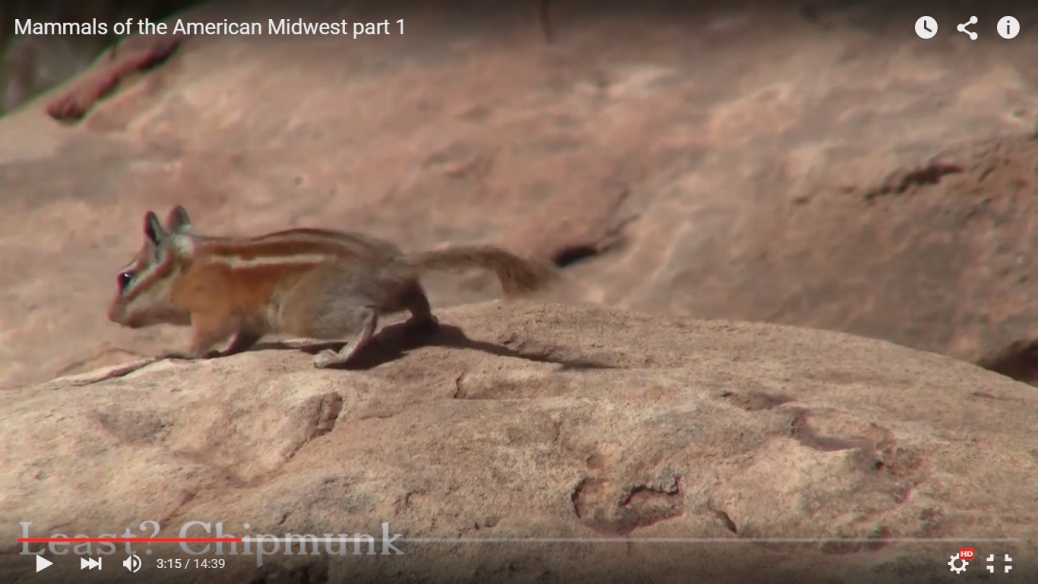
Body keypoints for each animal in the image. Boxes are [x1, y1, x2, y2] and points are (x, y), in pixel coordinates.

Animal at [107, 206, 559, 368]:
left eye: (124, 277)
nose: (110, 316)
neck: (187, 267)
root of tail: (389, 263)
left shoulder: (211, 311)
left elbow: (202, 340)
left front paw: (176, 353)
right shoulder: (247, 321)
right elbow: (240, 339)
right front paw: (227, 352)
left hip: (301, 310)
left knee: (366, 317)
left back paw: (337, 358)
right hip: (398, 289)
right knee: (419, 302)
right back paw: (418, 325)